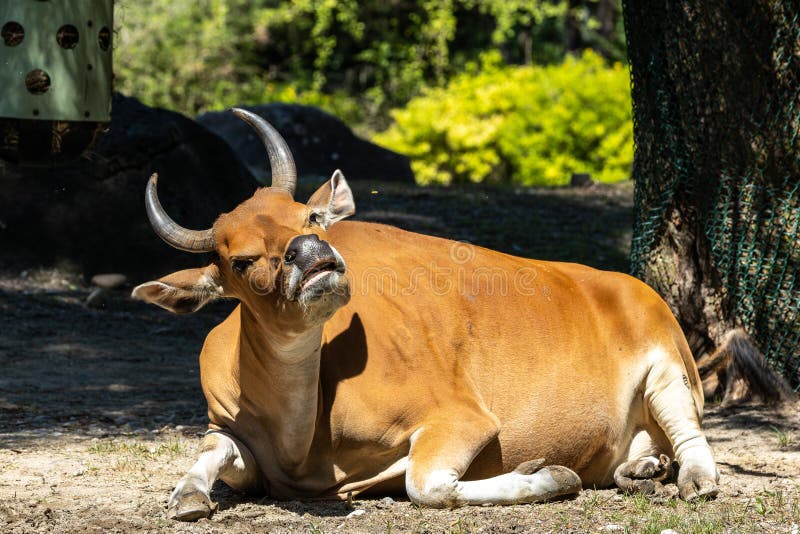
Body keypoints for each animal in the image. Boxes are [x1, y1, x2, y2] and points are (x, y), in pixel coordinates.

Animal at [133, 108, 719, 521]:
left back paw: (691, 477)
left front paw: (550, 476)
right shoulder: (229, 427)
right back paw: (643, 467)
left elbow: (426, 485)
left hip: (672, 370)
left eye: (310, 217)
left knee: (692, 438)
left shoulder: (462, 419)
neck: (303, 428)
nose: (311, 253)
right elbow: (210, 451)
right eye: (241, 261)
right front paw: (187, 495)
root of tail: (634, 287)